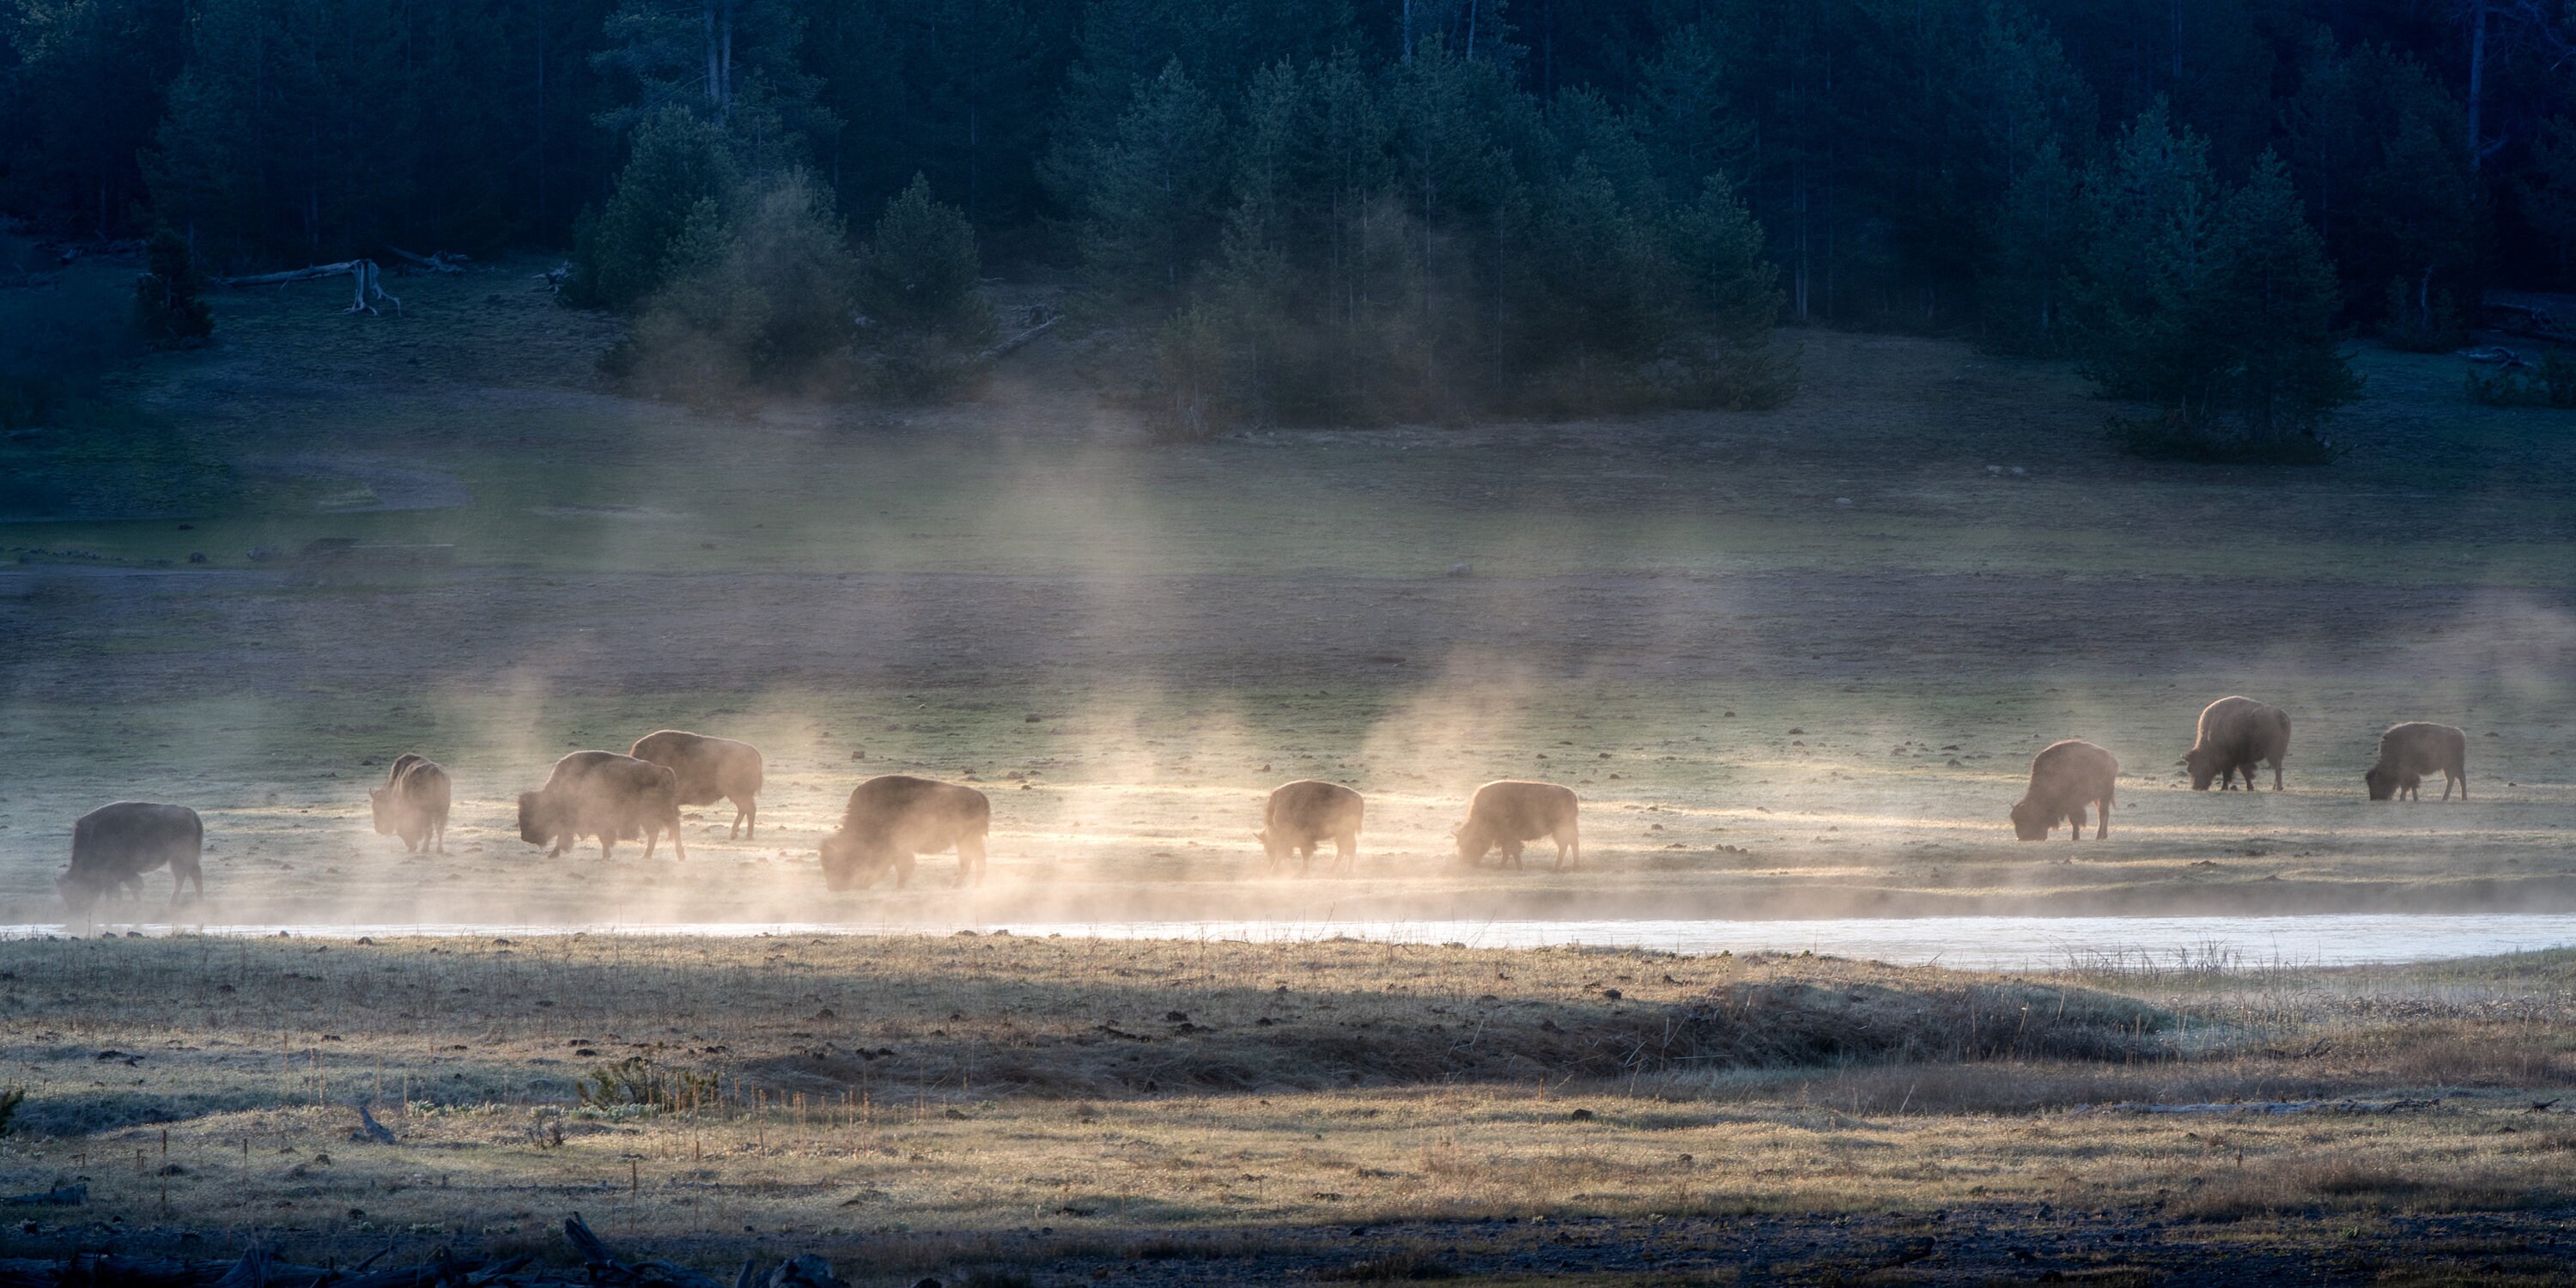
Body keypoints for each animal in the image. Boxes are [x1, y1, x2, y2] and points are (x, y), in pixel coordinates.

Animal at [59, 802, 203, 914]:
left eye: (74, 892)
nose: (76, 912)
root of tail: (189, 812)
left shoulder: (120, 872)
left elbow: (127, 888)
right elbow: (123, 890)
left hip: (183, 856)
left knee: (193, 874)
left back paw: (197, 903)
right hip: (175, 859)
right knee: (181, 877)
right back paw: (172, 904)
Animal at [517, 751, 687, 860]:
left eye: (530, 814)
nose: (525, 837)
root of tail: (662, 770)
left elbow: (567, 838)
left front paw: (553, 854)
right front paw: (606, 855)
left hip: (657, 813)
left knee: (673, 826)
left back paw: (680, 856)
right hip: (648, 817)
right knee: (655, 832)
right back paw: (646, 856)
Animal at [628, 730, 764, 839]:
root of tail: (753, 751)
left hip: (738, 793)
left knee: (749, 809)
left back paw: (746, 836)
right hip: (738, 794)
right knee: (745, 810)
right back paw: (736, 835)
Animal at [819, 775, 991, 890]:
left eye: (839, 862)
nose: (834, 887)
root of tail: (979, 795)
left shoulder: (896, 847)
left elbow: (903, 866)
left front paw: (899, 886)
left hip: (967, 839)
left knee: (973, 859)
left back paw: (967, 885)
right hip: (966, 840)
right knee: (972, 859)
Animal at [1454, 780, 1581, 870]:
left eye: (1471, 841)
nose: (1467, 862)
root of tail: (1572, 795)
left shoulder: (1508, 836)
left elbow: (1511, 850)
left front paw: (1507, 867)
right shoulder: (1506, 838)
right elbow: (1510, 851)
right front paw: (1512, 866)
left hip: (1560, 829)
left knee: (1567, 844)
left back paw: (1561, 868)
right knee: (1569, 844)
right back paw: (1570, 866)